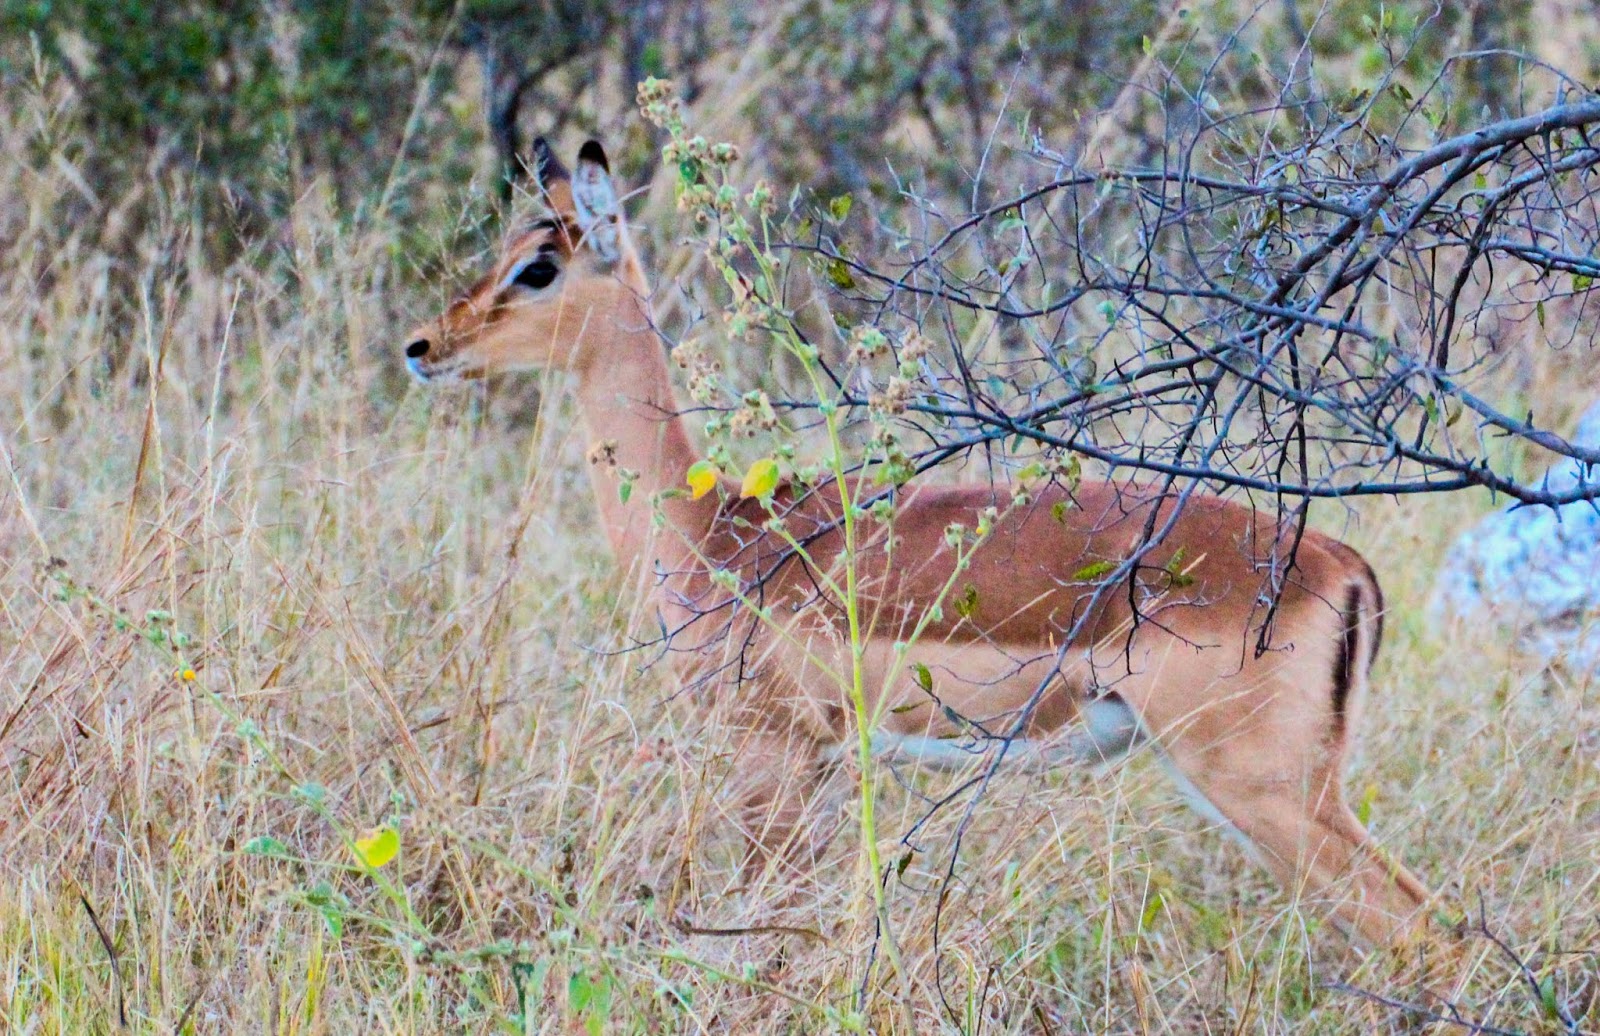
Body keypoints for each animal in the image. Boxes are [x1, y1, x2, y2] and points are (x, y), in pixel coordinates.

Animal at [402, 138, 1435, 946]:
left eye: (540, 268)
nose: (424, 347)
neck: (716, 535)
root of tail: (1342, 565)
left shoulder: (772, 757)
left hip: (1262, 788)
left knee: (1423, 931)